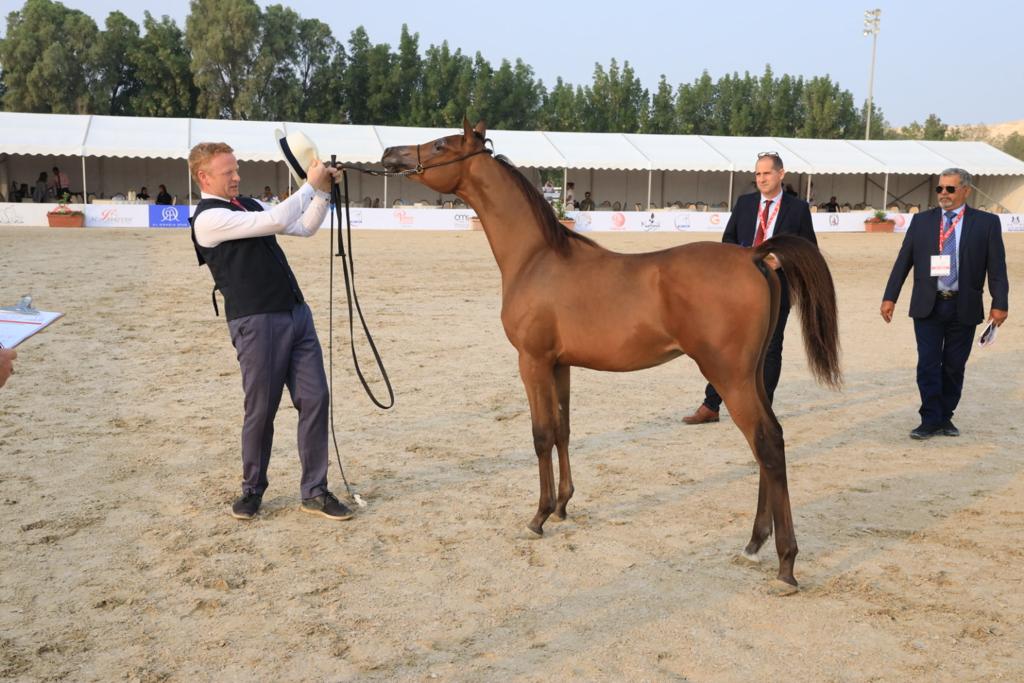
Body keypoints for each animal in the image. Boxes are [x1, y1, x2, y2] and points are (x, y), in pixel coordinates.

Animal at [381, 119, 841, 591]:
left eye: (441, 144)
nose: (389, 155)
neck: (536, 259)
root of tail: (754, 255)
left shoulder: (532, 362)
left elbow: (541, 435)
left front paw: (538, 517)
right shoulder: (560, 365)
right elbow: (563, 430)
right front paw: (563, 505)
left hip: (729, 376)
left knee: (766, 445)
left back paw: (785, 563)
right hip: (753, 376)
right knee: (773, 439)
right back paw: (754, 542)